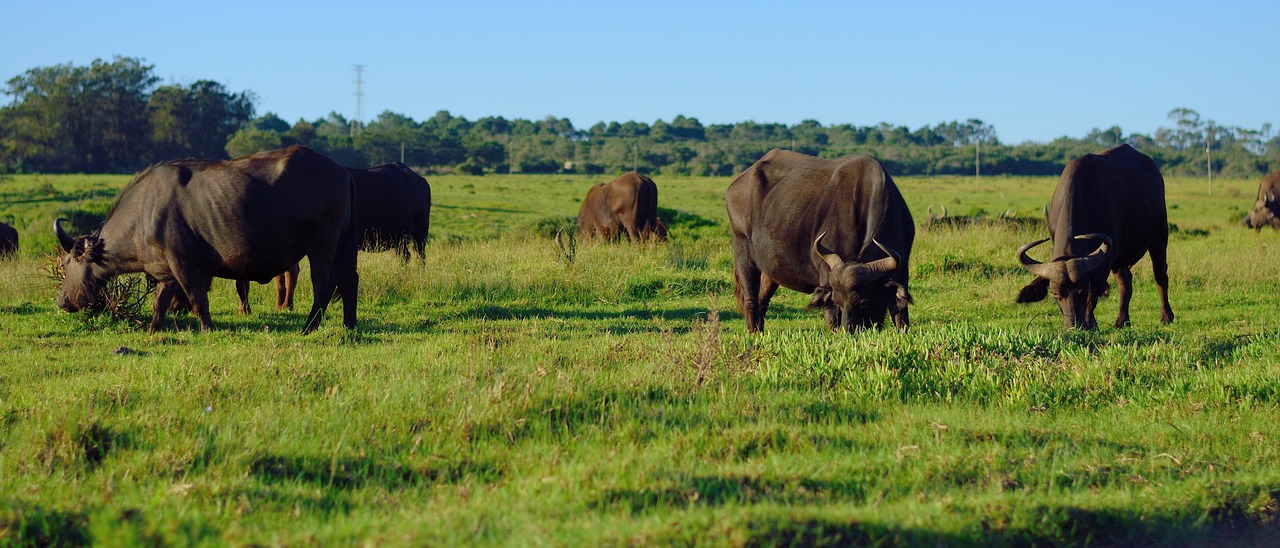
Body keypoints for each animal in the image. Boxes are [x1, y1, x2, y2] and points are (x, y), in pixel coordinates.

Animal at [54, 145, 359, 334]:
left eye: (68, 264)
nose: (61, 301)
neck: (145, 211)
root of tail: (342, 170)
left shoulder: (185, 265)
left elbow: (197, 297)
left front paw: (207, 329)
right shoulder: (166, 273)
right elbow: (159, 302)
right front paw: (153, 329)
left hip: (322, 246)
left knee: (323, 285)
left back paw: (309, 327)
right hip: (345, 246)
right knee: (350, 280)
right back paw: (350, 324)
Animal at [725, 149, 914, 333]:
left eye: (863, 303)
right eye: (838, 301)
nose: (849, 330)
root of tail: (737, 183)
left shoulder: (902, 270)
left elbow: (901, 314)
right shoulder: (826, 275)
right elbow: (832, 318)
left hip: (770, 269)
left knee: (762, 298)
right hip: (743, 253)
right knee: (750, 299)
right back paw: (752, 332)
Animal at [1015, 144, 1173, 329]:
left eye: (1082, 290)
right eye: (1055, 294)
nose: (1073, 325)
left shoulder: (1106, 259)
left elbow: (1094, 294)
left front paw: (1091, 323)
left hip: (1159, 239)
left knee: (1160, 275)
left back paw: (1166, 316)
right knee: (1125, 283)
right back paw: (1122, 321)